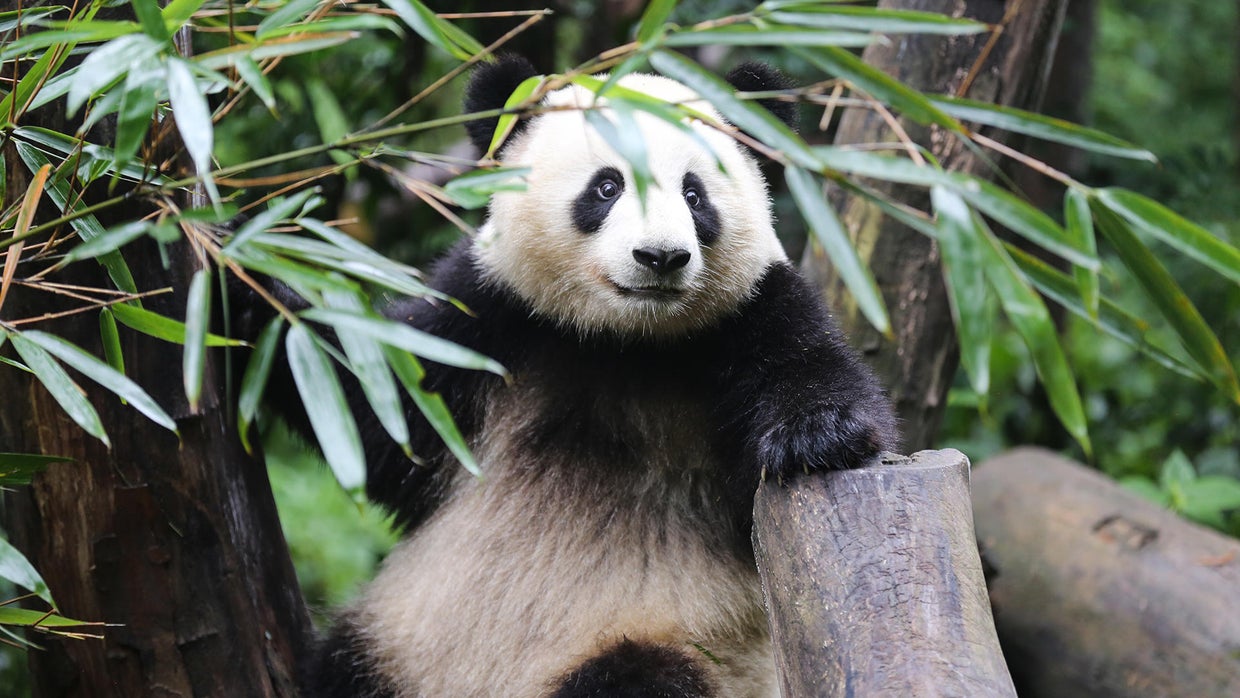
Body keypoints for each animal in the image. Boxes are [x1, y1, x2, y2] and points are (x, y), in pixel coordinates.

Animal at [272, 56, 898, 698]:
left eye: (694, 195)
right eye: (607, 186)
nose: (661, 257)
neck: (624, 342)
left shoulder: (751, 312)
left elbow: (809, 373)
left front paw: (818, 435)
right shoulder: (492, 314)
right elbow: (383, 414)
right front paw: (254, 291)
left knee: (638, 678)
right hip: (398, 641)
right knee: (344, 666)